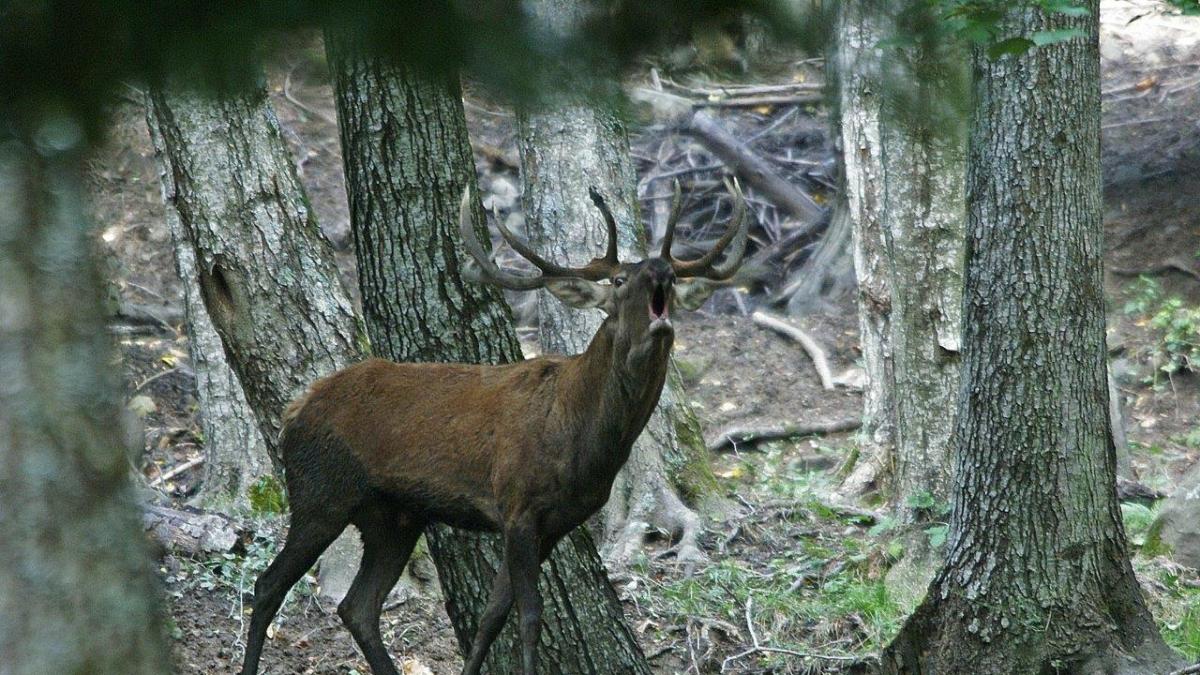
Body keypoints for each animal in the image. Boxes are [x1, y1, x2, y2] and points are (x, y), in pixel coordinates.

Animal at [238, 179, 748, 675]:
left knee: (357, 607)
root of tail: (295, 410)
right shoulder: (518, 504)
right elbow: (529, 616)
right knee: (268, 585)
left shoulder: (552, 524)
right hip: (321, 491)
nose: (661, 270)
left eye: (674, 279)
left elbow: (491, 616)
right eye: (621, 280)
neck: (582, 440)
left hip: (394, 517)